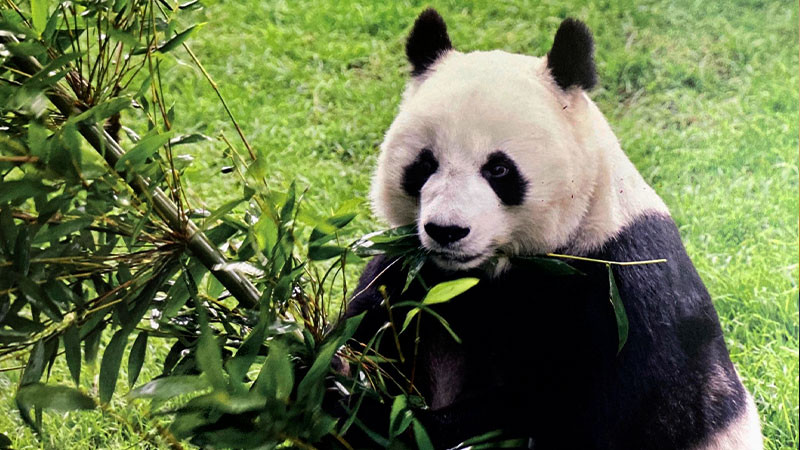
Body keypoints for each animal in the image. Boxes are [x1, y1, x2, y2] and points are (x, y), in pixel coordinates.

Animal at [343, 8, 763, 450]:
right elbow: (370, 330)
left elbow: (565, 414)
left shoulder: (622, 293)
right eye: (424, 165)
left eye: (498, 169)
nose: (447, 230)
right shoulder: (412, 276)